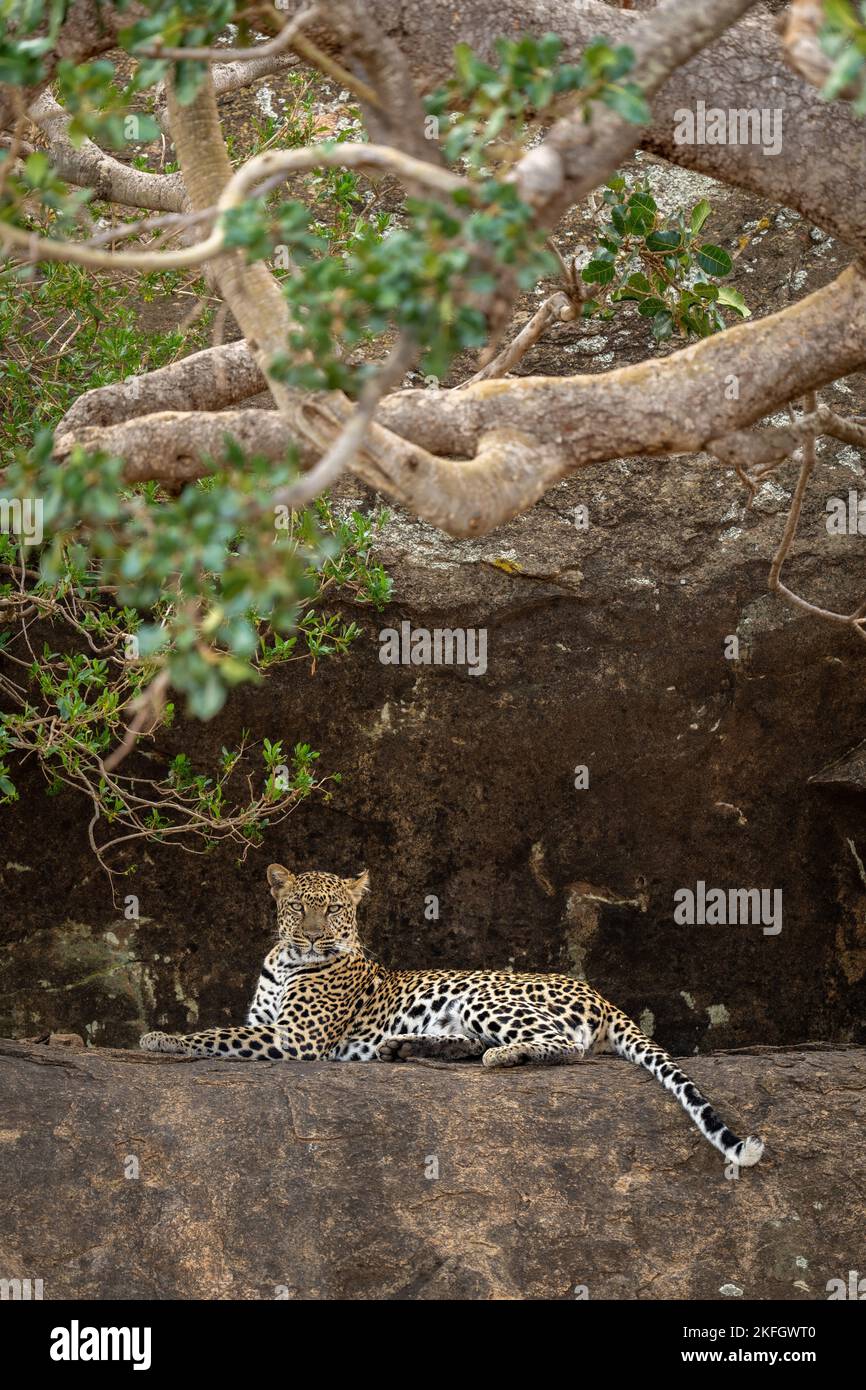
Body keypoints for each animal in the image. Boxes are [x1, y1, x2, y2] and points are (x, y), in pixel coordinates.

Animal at [140, 865, 765, 1168]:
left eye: (335, 909)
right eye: (297, 907)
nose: (315, 936)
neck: (288, 958)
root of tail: (601, 994)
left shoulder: (298, 1038)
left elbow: (218, 1034)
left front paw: (159, 1038)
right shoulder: (273, 1024)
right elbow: (231, 1028)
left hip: (480, 998)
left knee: (560, 1044)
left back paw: (502, 1054)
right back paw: (409, 1047)